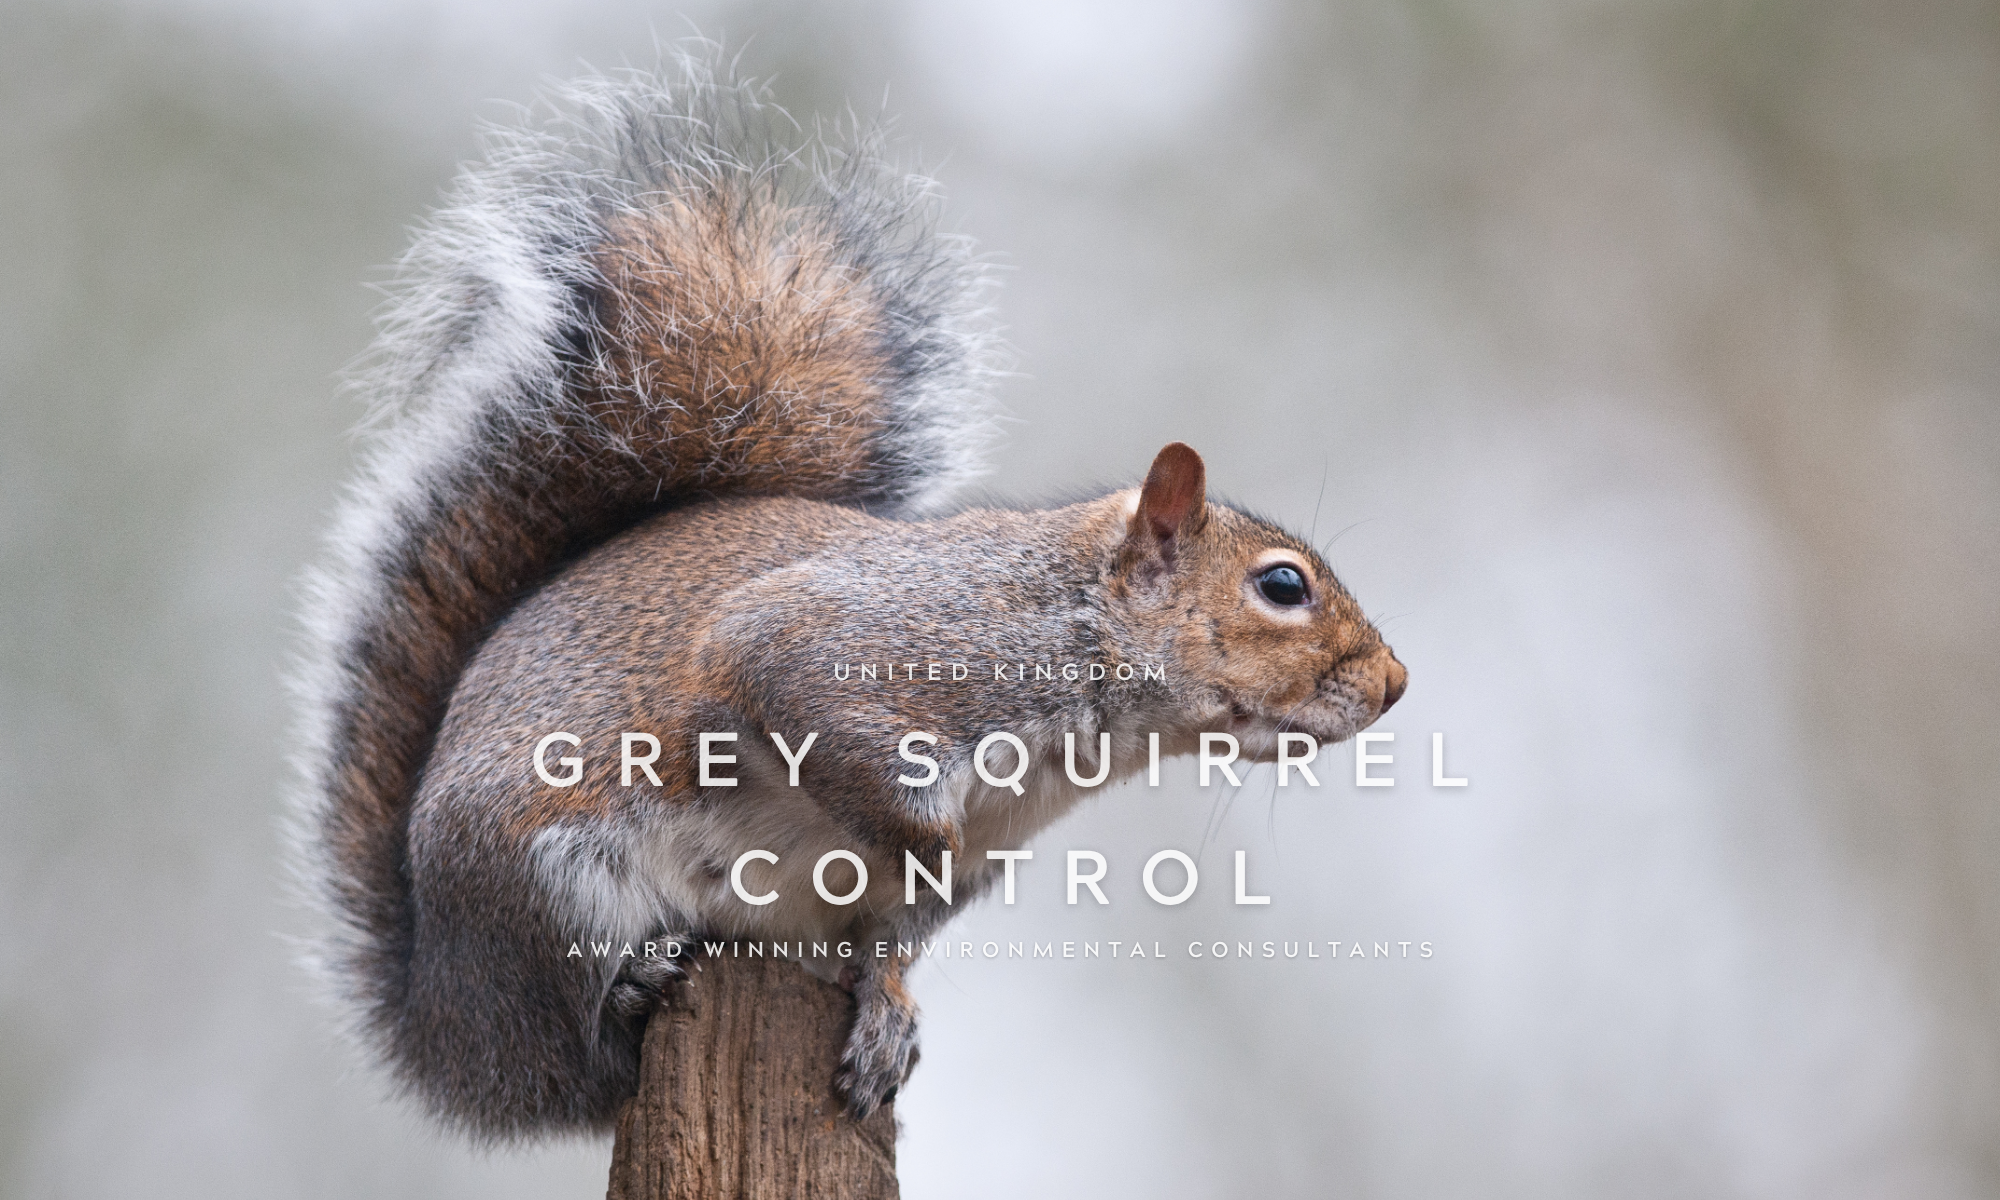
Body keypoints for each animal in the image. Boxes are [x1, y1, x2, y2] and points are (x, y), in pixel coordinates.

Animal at [293, 58, 1407, 1144]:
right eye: (1281, 586)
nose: (1395, 683)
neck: (1074, 648)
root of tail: (446, 1036)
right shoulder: (860, 652)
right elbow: (829, 734)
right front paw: (917, 849)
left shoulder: (979, 853)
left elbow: (894, 940)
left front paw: (886, 1016)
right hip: (548, 878)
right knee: (581, 1056)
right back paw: (628, 990)